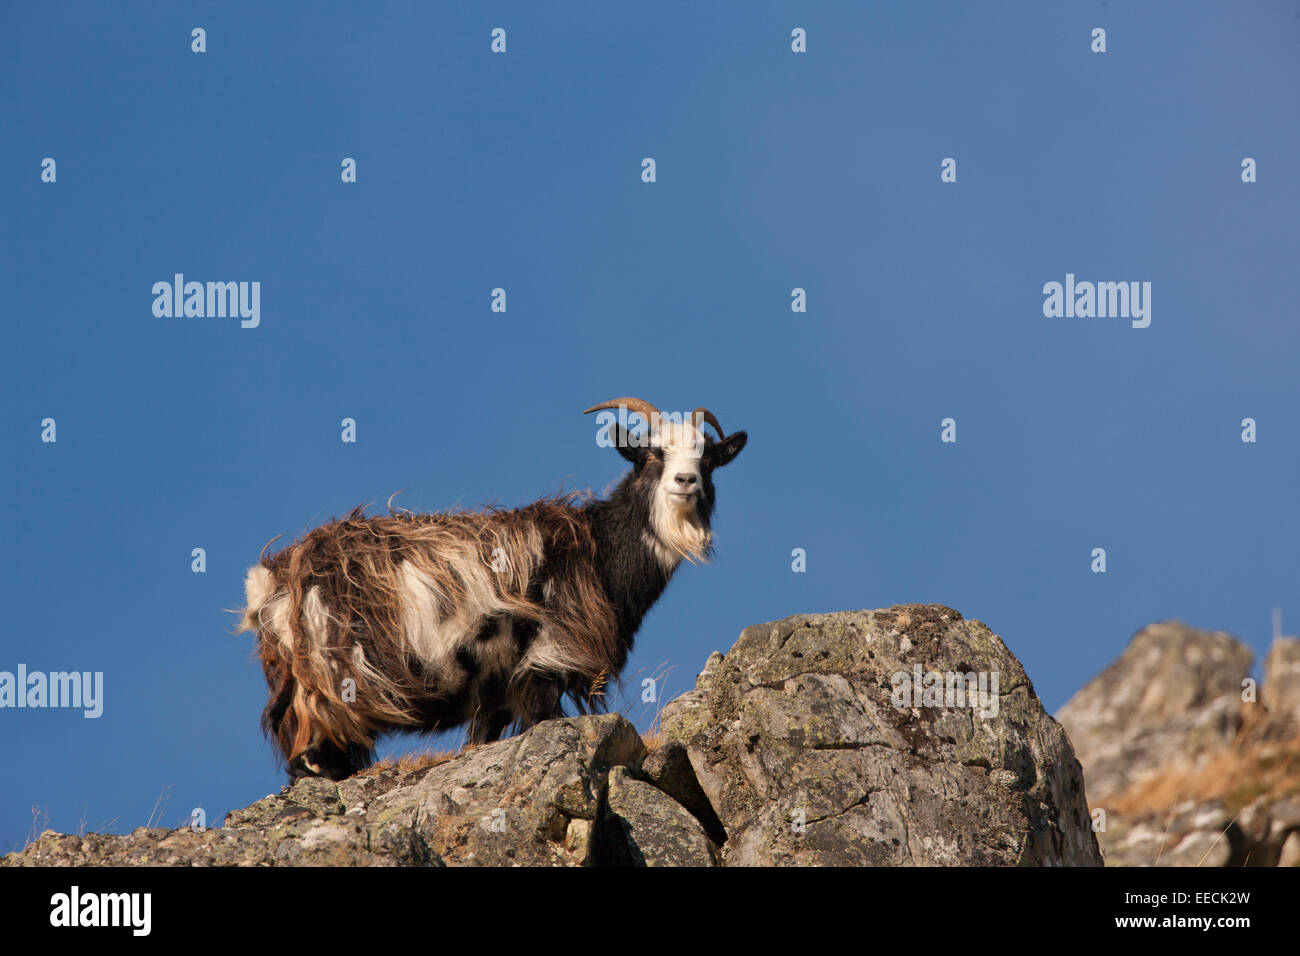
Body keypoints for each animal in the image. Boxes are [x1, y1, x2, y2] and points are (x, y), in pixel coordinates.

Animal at [237, 398, 747, 781]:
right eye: (651, 455)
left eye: (707, 460)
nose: (686, 481)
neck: (598, 547)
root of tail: (276, 580)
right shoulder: (547, 659)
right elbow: (548, 719)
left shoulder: (498, 690)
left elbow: (483, 738)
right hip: (329, 691)